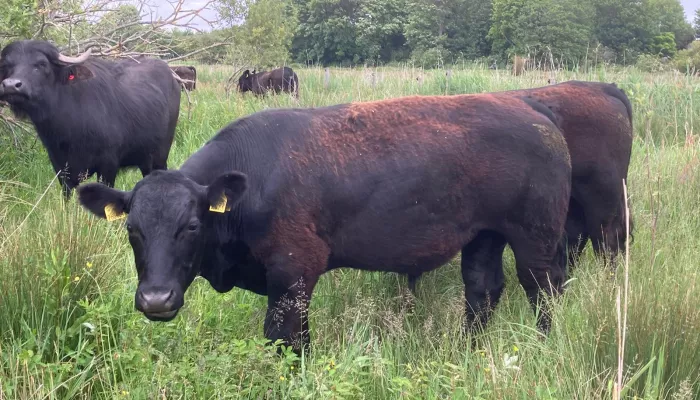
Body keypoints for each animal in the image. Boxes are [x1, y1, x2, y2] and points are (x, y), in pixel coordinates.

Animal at [0, 40, 181, 198]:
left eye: (41, 64)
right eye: (7, 65)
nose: (11, 85)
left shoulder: (108, 164)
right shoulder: (60, 166)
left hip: (161, 154)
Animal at [77, 93, 571, 354]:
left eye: (192, 226)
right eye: (132, 230)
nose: (156, 299)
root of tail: (531, 109)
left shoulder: (295, 271)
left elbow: (284, 339)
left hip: (536, 237)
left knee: (543, 290)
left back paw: (543, 346)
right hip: (484, 235)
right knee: (482, 289)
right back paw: (467, 350)